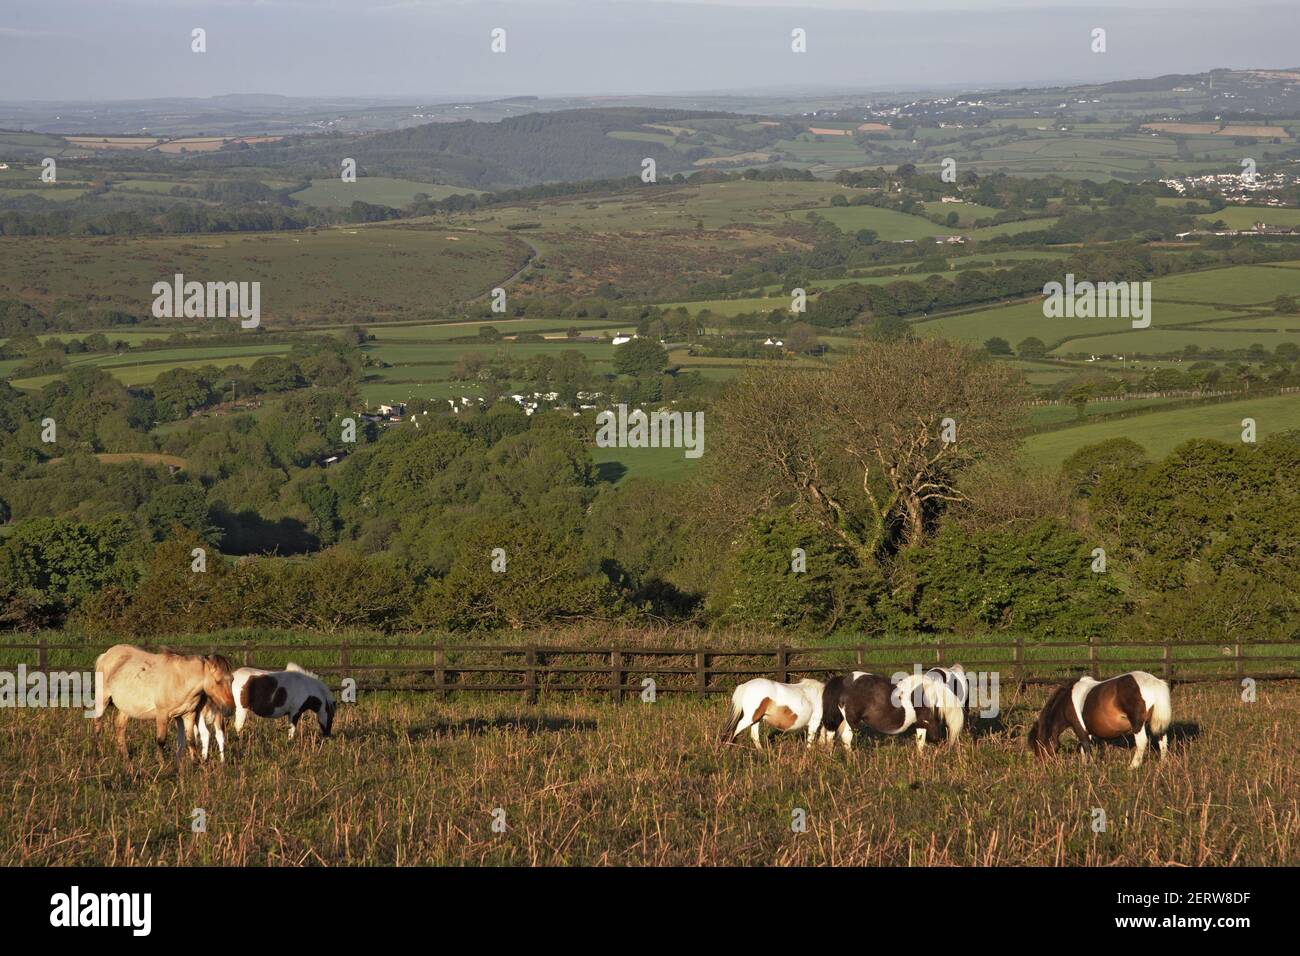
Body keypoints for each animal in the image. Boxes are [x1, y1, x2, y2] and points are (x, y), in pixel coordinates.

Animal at [92, 645, 235, 762]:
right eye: (217, 681)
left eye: (232, 680)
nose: (230, 709)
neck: (181, 679)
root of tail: (106, 654)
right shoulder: (162, 714)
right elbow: (161, 740)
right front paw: (161, 765)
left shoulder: (189, 714)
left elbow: (191, 740)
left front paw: (194, 765)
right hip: (102, 700)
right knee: (98, 726)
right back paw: (98, 755)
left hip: (126, 707)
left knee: (120, 728)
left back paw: (125, 757)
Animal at [820, 670, 966, 753]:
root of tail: (845, 681)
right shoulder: (930, 724)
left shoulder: (921, 724)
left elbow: (920, 744)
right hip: (851, 721)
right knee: (846, 738)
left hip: (840, 719)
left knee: (830, 736)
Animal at [1027, 671, 1172, 768]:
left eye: (1038, 745)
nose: (1042, 766)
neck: (1066, 701)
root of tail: (1155, 682)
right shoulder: (1088, 731)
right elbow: (1083, 749)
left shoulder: (1079, 728)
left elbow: (1086, 747)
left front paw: (1089, 767)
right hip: (1156, 724)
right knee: (1163, 741)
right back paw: (1162, 764)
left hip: (1138, 725)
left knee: (1142, 742)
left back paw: (1132, 767)